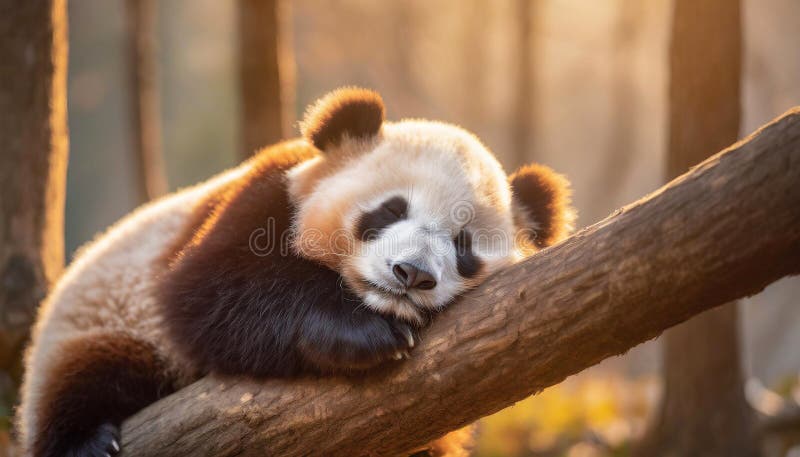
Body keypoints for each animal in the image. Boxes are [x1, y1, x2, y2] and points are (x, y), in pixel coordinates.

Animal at [17, 88, 575, 457]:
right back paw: (85, 441)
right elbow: (207, 294)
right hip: (102, 317)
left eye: (463, 247)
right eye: (390, 210)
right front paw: (364, 334)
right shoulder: (264, 196)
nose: (411, 274)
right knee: (88, 372)